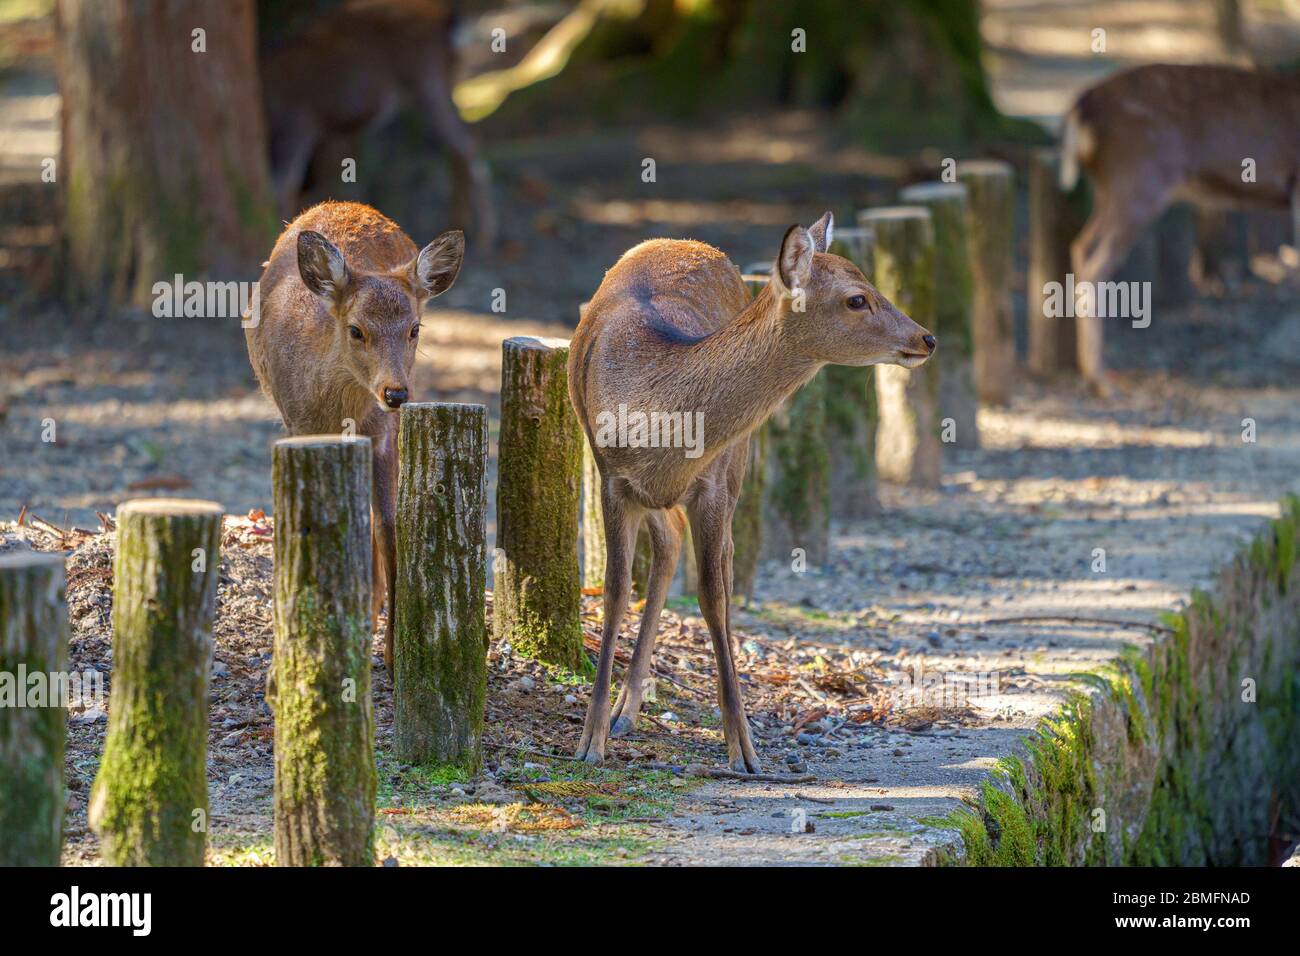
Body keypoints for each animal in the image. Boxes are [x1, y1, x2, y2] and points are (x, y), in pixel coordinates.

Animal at [245, 201, 464, 671]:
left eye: (414, 329)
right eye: (357, 330)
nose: (396, 393)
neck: (335, 412)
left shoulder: (381, 433)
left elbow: (389, 525)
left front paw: (395, 649)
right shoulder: (297, 426)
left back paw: (372, 605)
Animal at [260, 0, 495, 249]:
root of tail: (448, 22)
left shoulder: (299, 125)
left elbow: (284, 186)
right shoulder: (330, 132)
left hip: (427, 81)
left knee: (466, 144)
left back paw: (486, 234)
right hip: (449, 79)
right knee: (459, 143)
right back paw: (459, 221)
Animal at [568, 213, 936, 771]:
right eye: (857, 298)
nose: (927, 337)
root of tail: (689, 241)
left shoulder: (712, 484)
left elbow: (713, 596)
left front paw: (742, 748)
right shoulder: (611, 477)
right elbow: (613, 594)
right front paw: (590, 741)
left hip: (737, 462)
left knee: (717, 559)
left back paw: (635, 708)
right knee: (670, 540)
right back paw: (624, 711)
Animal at [1060, 63, 1300, 388]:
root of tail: (1082, 105)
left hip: (1108, 188)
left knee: (1082, 245)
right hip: (1140, 179)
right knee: (1096, 259)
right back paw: (1100, 378)